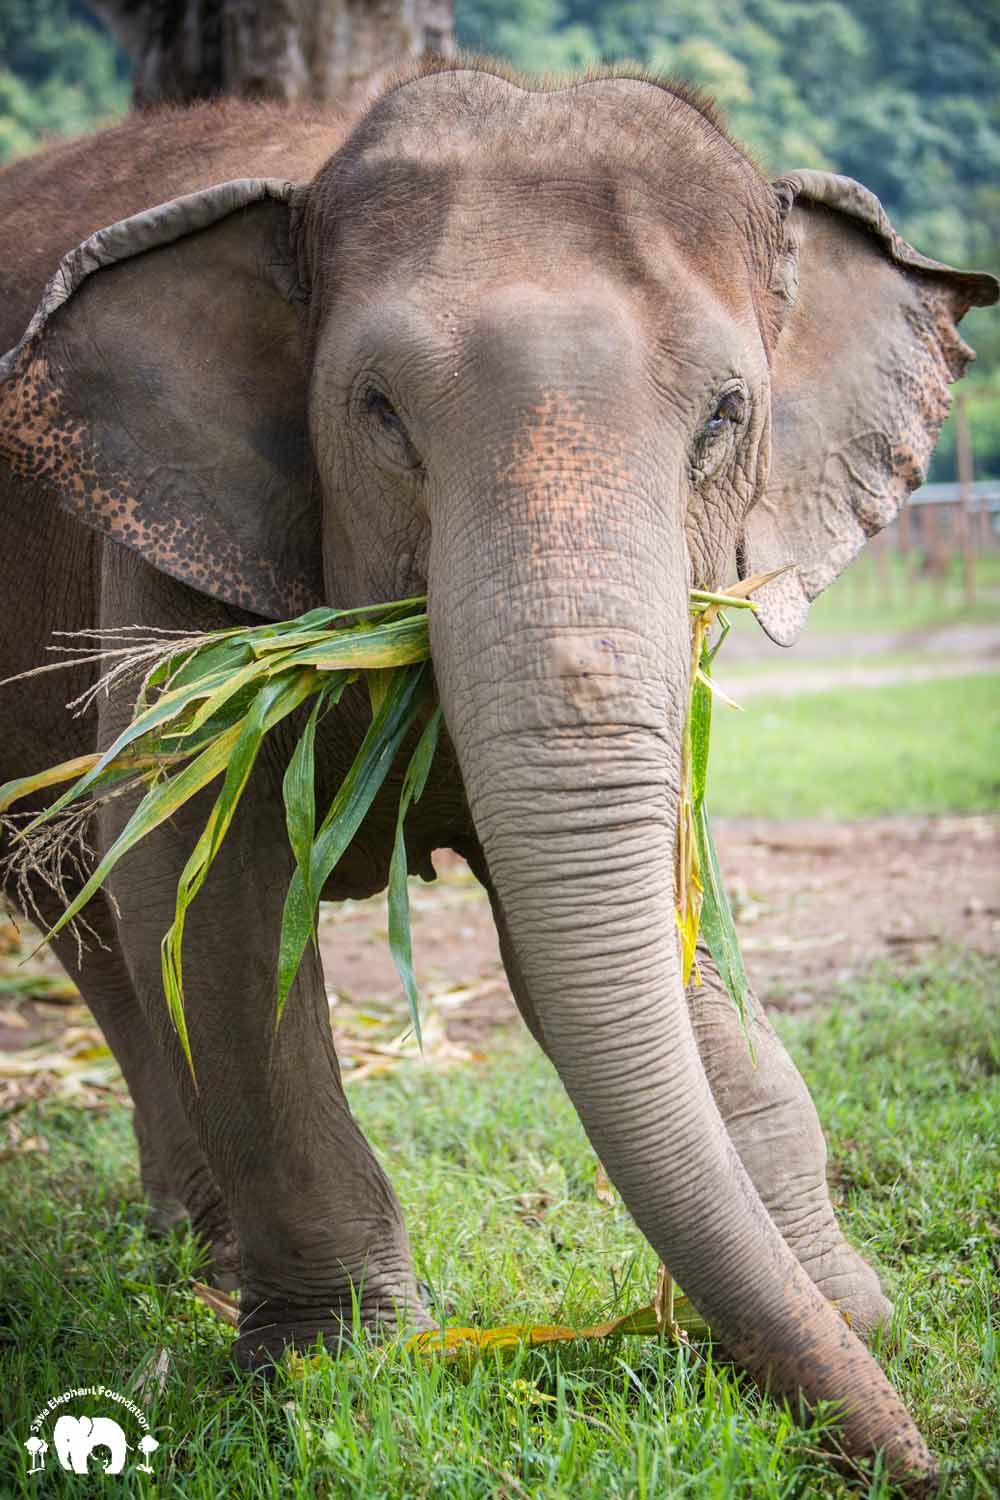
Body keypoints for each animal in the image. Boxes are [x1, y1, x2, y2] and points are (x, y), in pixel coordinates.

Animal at [0, 60, 995, 1492]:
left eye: (723, 417)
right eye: (379, 412)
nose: (922, 1462)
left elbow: (651, 886)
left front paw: (852, 1311)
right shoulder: (168, 552)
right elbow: (220, 893)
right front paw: (331, 1372)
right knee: (99, 901)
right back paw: (204, 1257)